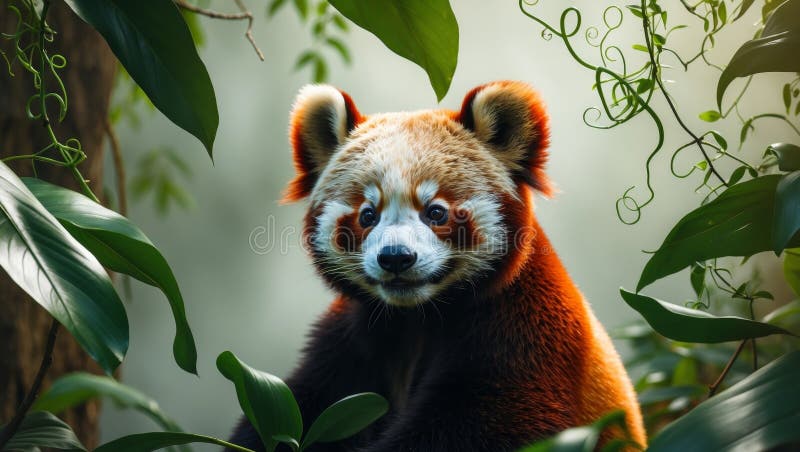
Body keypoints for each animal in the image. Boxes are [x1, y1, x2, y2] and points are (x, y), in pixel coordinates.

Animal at [228, 81, 646, 451]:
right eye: (367, 215)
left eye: (436, 212)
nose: (396, 257)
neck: (417, 318)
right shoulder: (350, 340)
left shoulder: (525, 333)